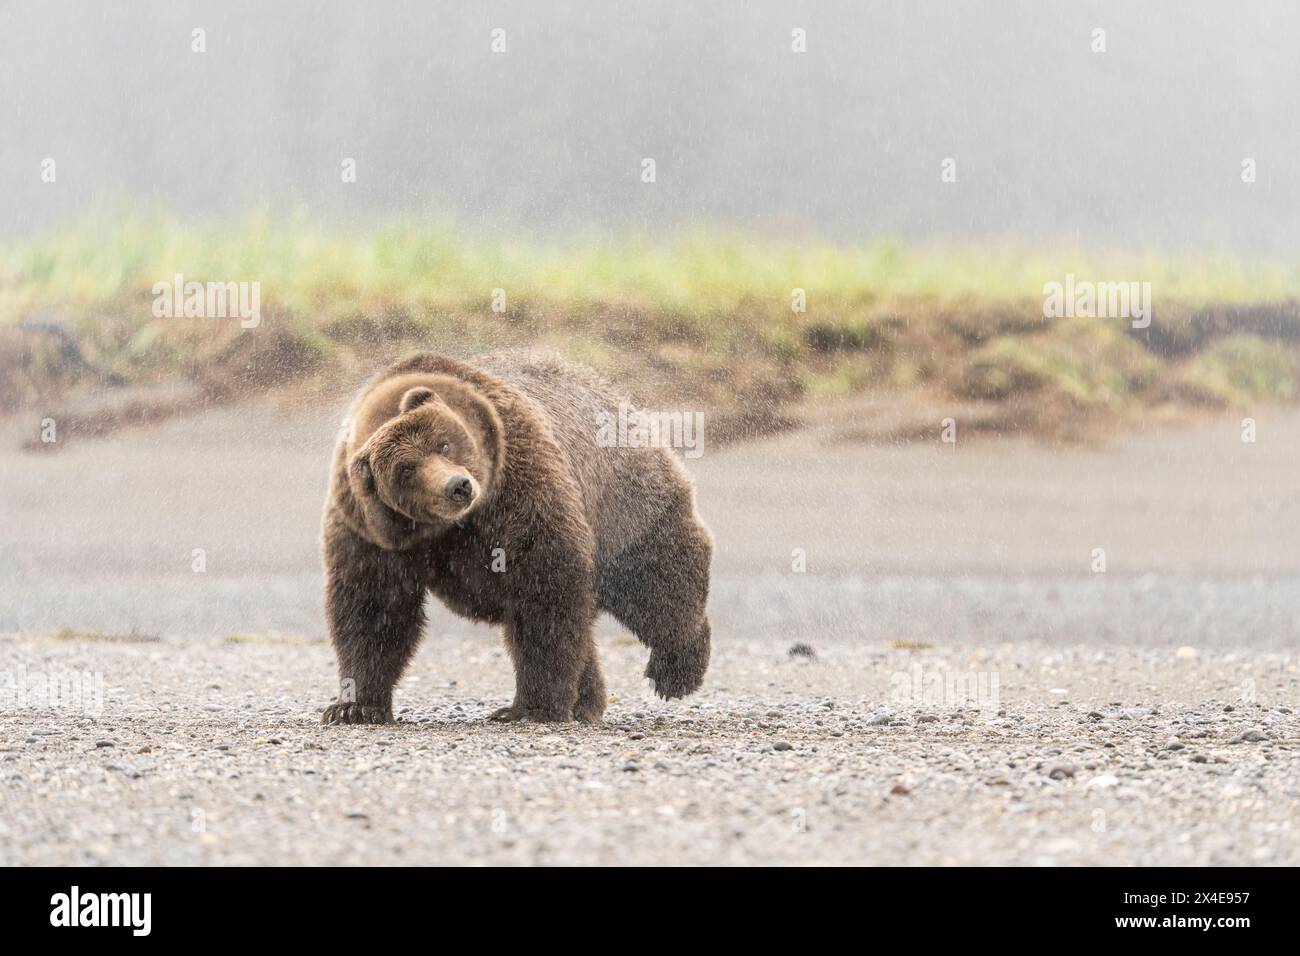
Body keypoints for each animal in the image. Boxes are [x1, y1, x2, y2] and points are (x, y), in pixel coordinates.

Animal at [319, 350, 713, 725]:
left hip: (622, 500)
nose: (458, 487)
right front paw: (353, 707)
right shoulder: (368, 530)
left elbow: (544, 583)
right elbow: (375, 606)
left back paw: (675, 670)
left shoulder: (516, 483)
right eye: (406, 469)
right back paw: (587, 700)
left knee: (654, 580)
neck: (449, 528)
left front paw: (533, 705)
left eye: (444, 444)